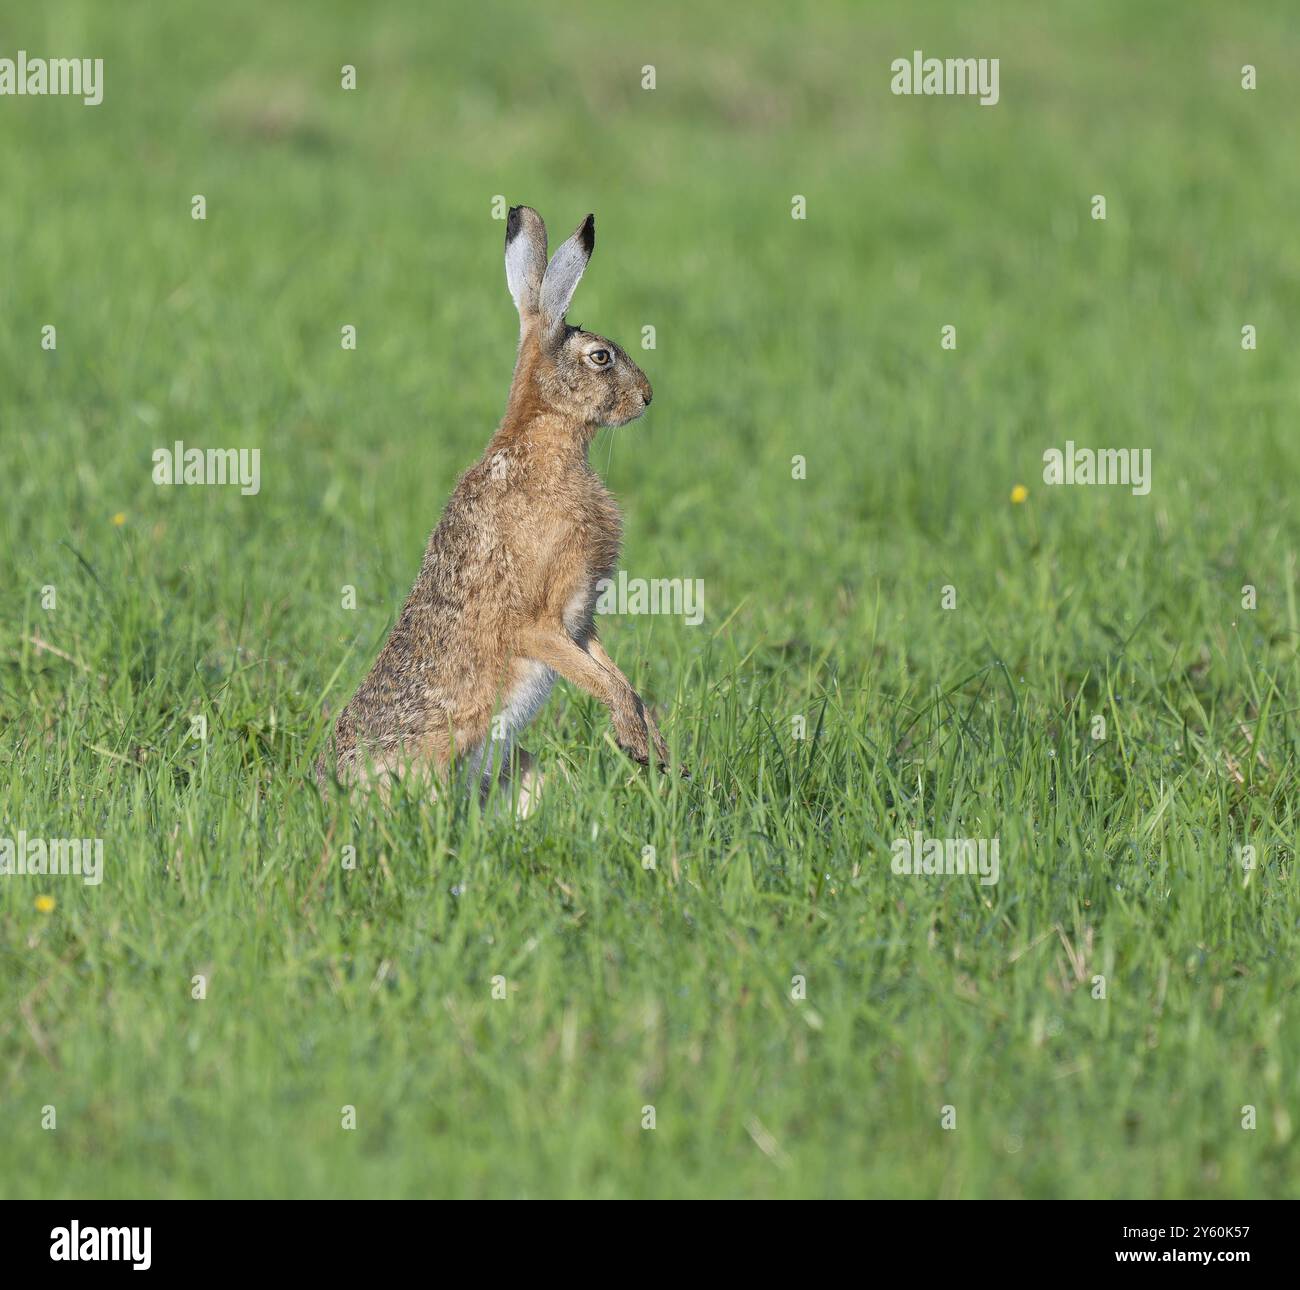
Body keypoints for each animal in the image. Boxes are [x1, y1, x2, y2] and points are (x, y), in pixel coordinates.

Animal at [317, 205, 673, 812]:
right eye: (600, 357)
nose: (647, 397)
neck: (545, 438)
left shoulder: (581, 622)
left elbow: (617, 676)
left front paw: (656, 747)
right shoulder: (540, 622)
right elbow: (602, 680)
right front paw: (635, 740)